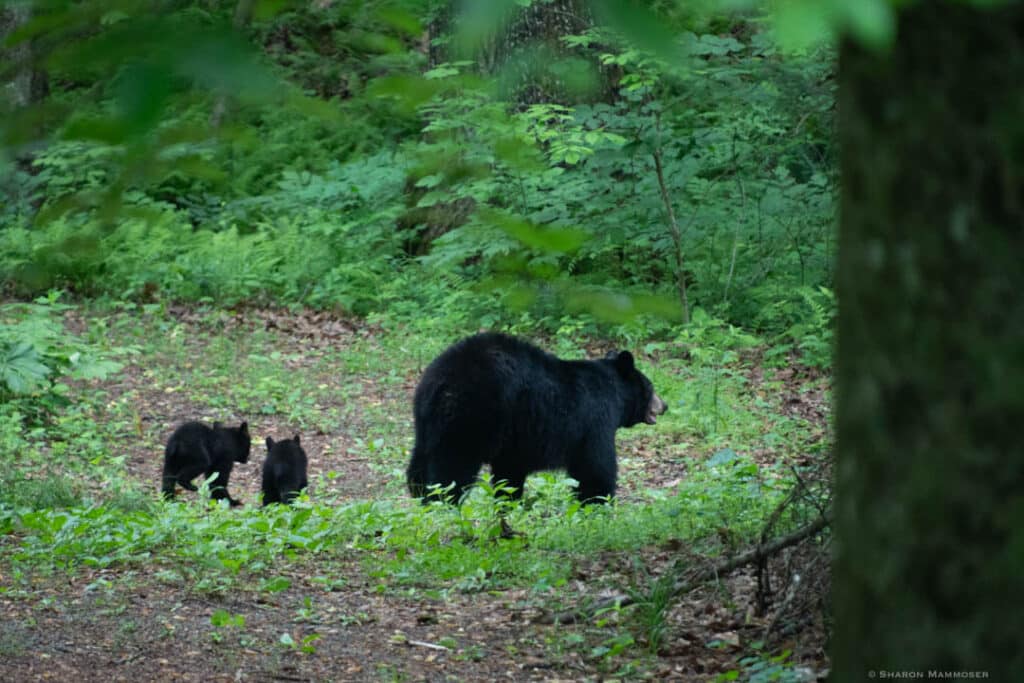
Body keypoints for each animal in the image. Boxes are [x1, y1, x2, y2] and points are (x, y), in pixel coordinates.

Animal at [406, 332, 667, 503]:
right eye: (651, 386)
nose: (664, 405)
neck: (614, 393)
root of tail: (443, 380)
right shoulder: (594, 419)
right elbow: (594, 466)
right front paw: (596, 503)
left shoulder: (515, 442)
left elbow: (509, 473)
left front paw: (509, 504)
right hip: (471, 417)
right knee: (452, 469)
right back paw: (443, 502)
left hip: (426, 421)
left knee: (419, 464)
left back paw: (420, 495)